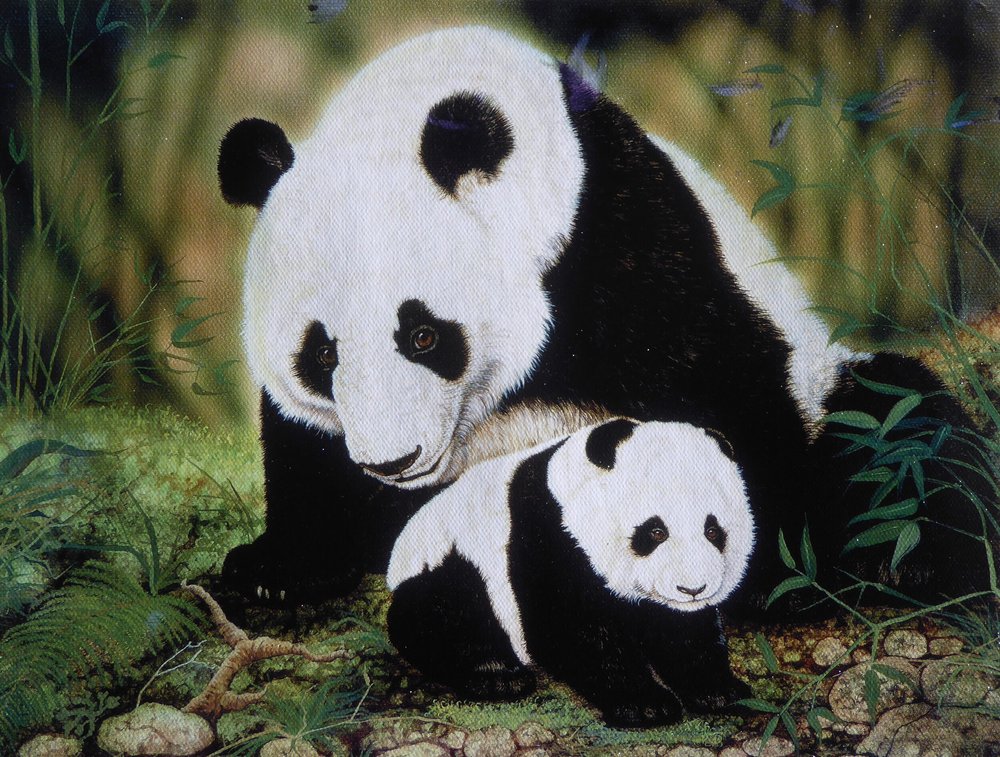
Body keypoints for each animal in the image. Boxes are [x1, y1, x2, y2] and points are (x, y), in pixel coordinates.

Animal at [216, 25, 989, 614]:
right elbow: (304, 445)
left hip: (828, 388)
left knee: (896, 423)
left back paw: (907, 557)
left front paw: (767, 566)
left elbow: (730, 390)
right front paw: (272, 569)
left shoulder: (621, 241)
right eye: (321, 354)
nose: (392, 461)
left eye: (424, 335)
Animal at [386, 418, 754, 727]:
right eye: (655, 531)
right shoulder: (549, 537)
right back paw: (497, 677)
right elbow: (569, 630)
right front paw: (645, 705)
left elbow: (684, 632)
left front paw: (720, 691)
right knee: (452, 619)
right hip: (447, 563)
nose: (692, 589)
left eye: (713, 531)